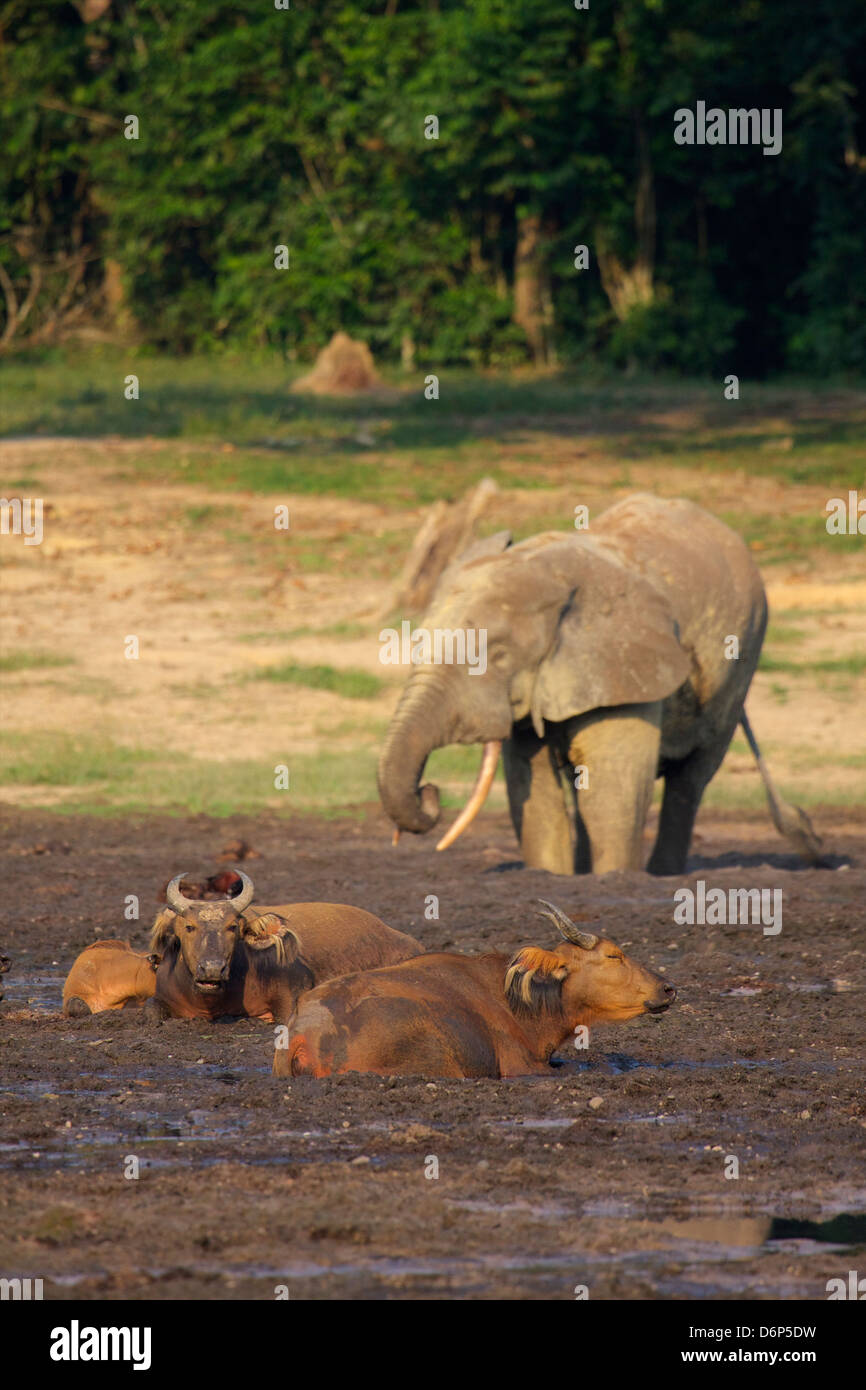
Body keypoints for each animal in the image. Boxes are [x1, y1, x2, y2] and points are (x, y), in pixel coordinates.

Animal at [378, 493, 821, 875]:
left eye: (499, 655)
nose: (430, 792)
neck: (547, 572)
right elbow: (536, 795)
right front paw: (553, 876)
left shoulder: (625, 666)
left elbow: (612, 795)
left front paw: (616, 878)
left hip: (742, 660)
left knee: (692, 777)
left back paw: (663, 873)